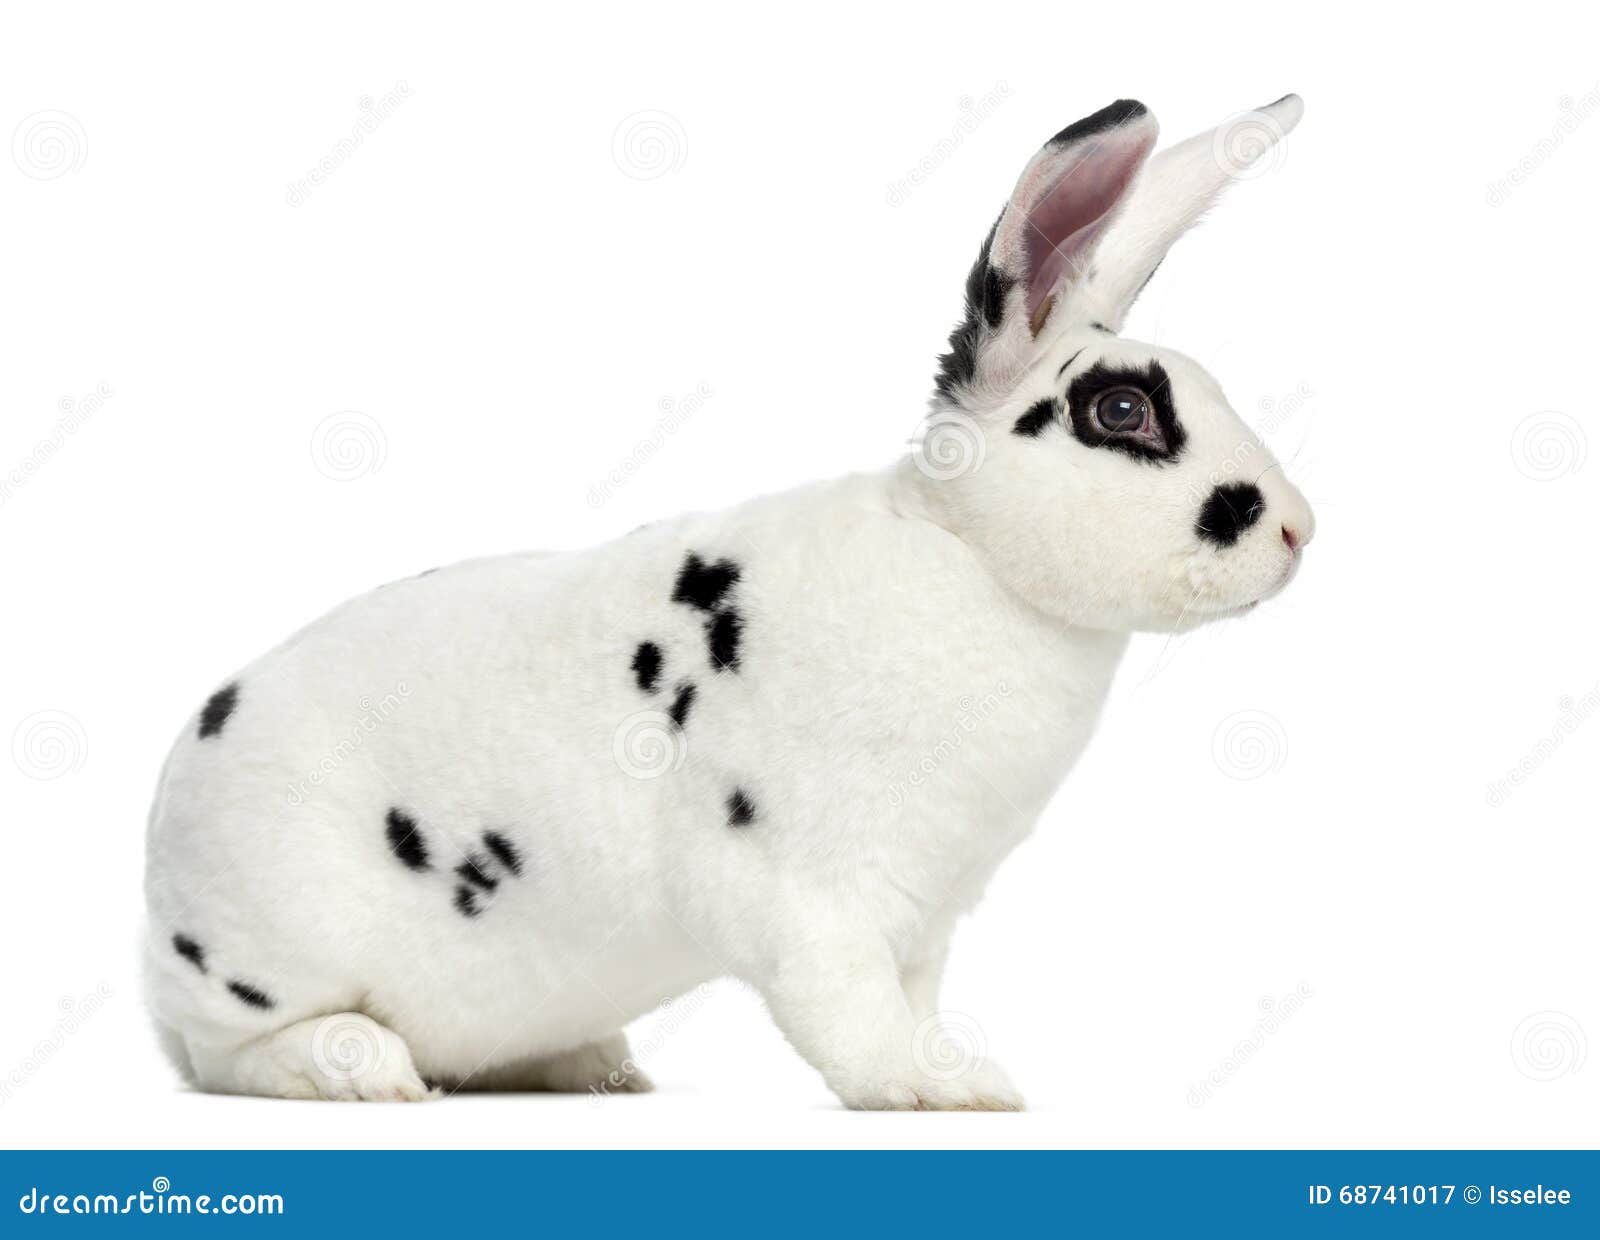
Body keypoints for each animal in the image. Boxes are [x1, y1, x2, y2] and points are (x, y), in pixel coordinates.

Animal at [144, 95, 1314, 1109]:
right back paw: (364, 1069)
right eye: (1119, 412)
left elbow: (912, 1001)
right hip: (270, 950)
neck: (967, 558)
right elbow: (848, 1013)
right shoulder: (816, 897)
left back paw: (596, 1066)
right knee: (231, 1054)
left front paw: (951, 1068)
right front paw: (946, 1090)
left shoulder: (926, 918)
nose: (1299, 532)